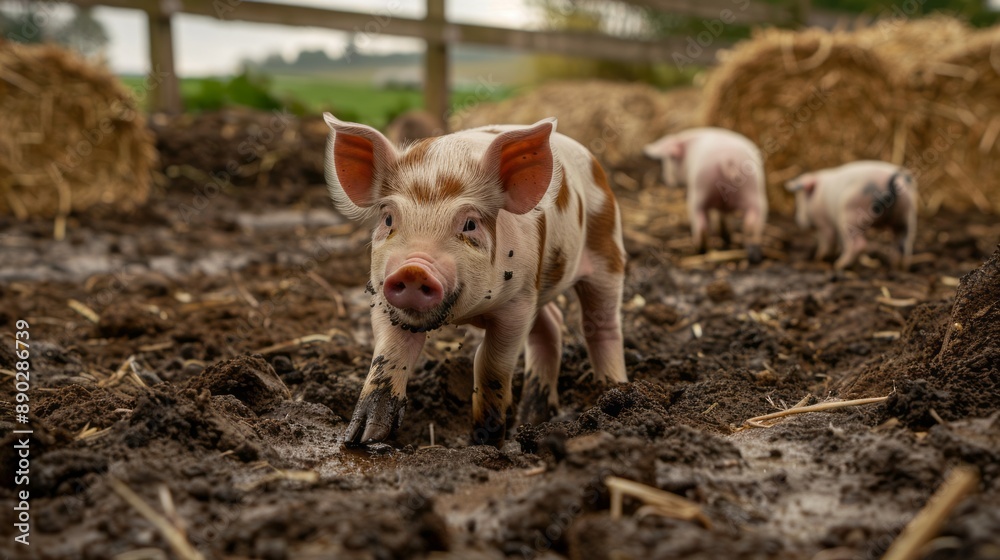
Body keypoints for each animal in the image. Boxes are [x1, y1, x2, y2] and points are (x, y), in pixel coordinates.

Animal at [323, 114, 628, 447]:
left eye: (469, 224)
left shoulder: (518, 302)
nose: (413, 270)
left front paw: (486, 443)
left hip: (607, 250)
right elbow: (389, 354)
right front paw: (362, 439)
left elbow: (490, 364)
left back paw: (615, 395)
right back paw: (532, 419)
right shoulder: (382, 298)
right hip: (541, 287)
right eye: (389, 219)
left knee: (602, 325)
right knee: (551, 324)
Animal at [644, 127, 768, 263]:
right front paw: (726, 237)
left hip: (699, 192)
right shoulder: (723, 205)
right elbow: (724, 217)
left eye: (671, 158)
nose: (666, 181)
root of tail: (727, 159)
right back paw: (754, 257)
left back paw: (701, 250)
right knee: (752, 224)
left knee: (701, 225)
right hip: (755, 193)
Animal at [785, 161, 917, 270]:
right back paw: (898, 267)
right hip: (906, 216)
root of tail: (892, 177)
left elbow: (827, 240)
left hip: (850, 214)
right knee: (904, 244)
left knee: (859, 245)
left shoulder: (825, 222)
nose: (799, 221)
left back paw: (840, 265)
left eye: (800, 198)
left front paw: (820, 258)